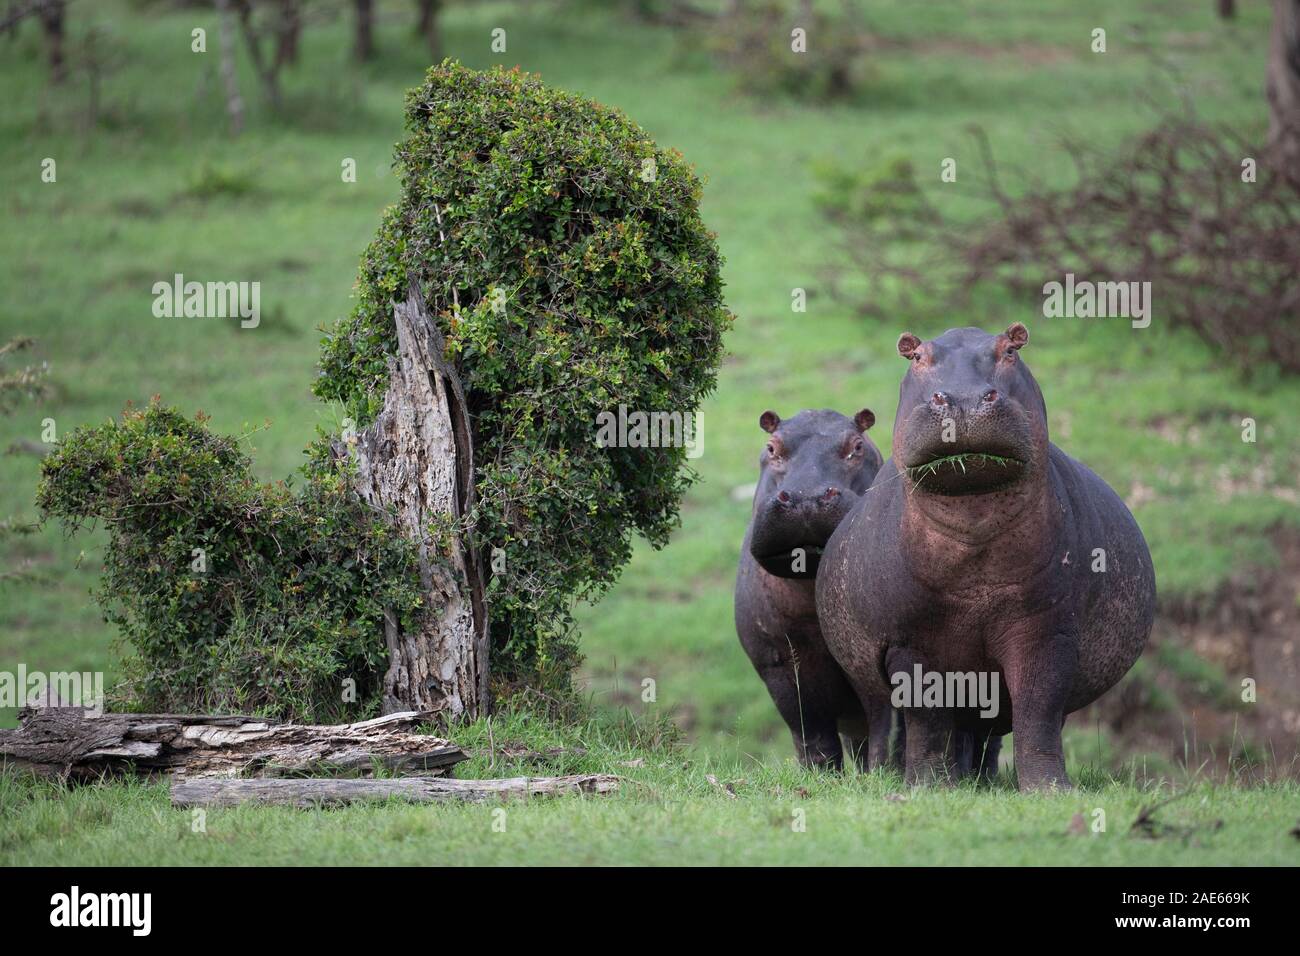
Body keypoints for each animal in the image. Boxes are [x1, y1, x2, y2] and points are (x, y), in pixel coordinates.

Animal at [817, 324, 1155, 789]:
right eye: (916, 356)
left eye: (1010, 349)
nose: (963, 399)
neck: (972, 525)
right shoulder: (910, 640)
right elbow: (926, 718)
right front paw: (928, 786)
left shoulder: (1047, 631)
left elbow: (1039, 709)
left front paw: (1049, 790)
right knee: (892, 724)